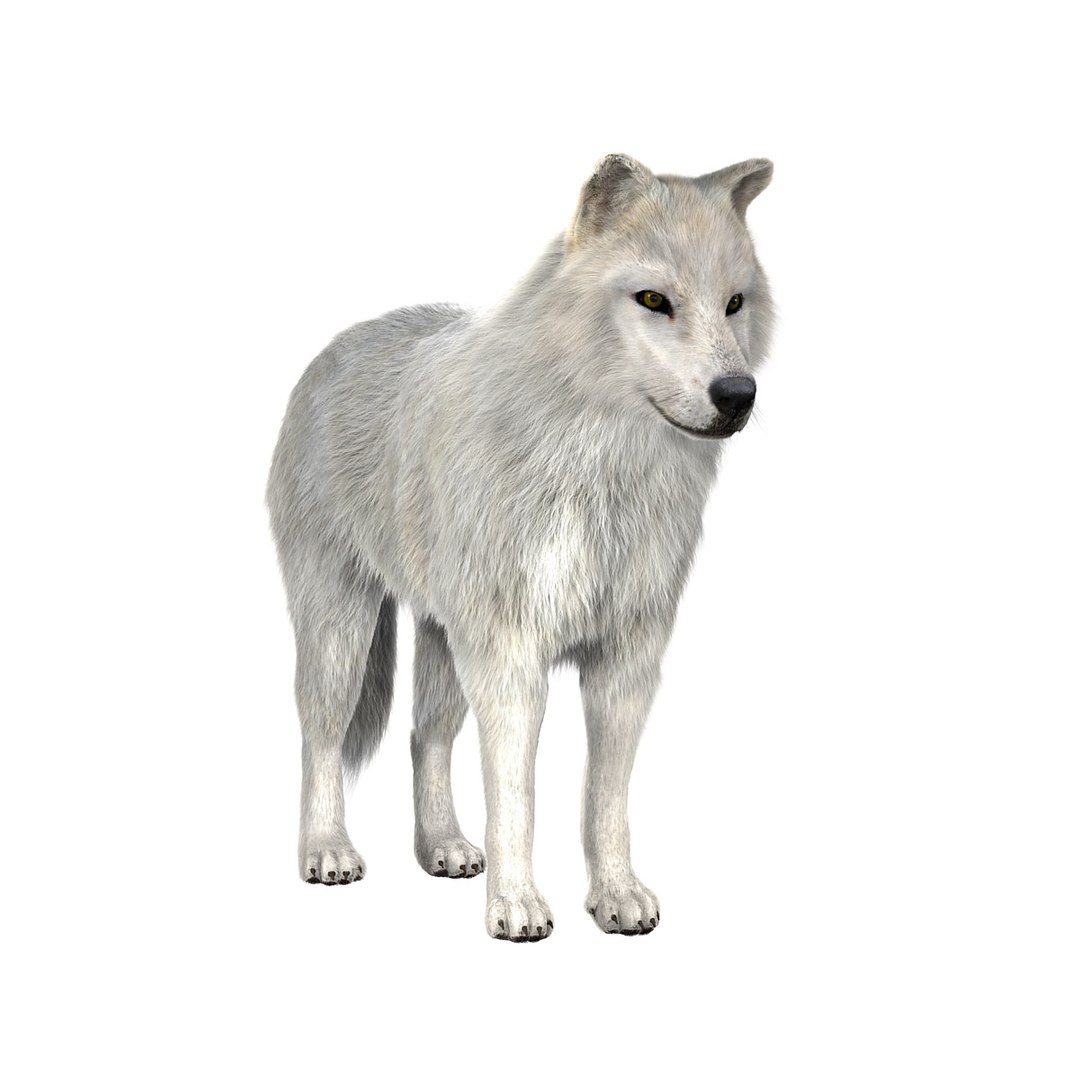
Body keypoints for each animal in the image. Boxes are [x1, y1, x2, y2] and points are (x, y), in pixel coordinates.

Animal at [266, 154, 774, 941]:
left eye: (734, 303)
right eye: (653, 299)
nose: (737, 395)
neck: (599, 470)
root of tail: (337, 345)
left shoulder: (627, 661)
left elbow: (606, 798)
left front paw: (617, 896)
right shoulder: (509, 657)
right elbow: (517, 798)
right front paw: (516, 907)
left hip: (443, 640)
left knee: (425, 736)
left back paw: (443, 847)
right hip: (340, 631)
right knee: (319, 735)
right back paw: (327, 851)